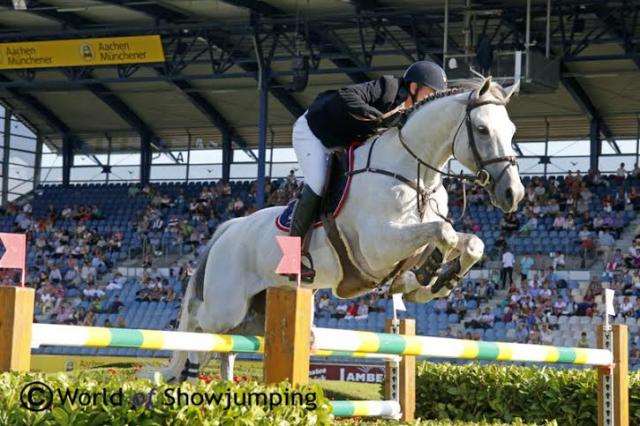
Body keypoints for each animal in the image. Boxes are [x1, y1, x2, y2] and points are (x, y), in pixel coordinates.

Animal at [140, 76, 525, 382]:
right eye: (482, 130)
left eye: (512, 132)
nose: (514, 194)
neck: (412, 174)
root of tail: (230, 229)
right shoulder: (377, 246)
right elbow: (441, 234)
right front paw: (431, 273)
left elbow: (469, 242)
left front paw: (434, 281)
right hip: (227, 305)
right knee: (197, 324)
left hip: (254, 312)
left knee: (225, 346)